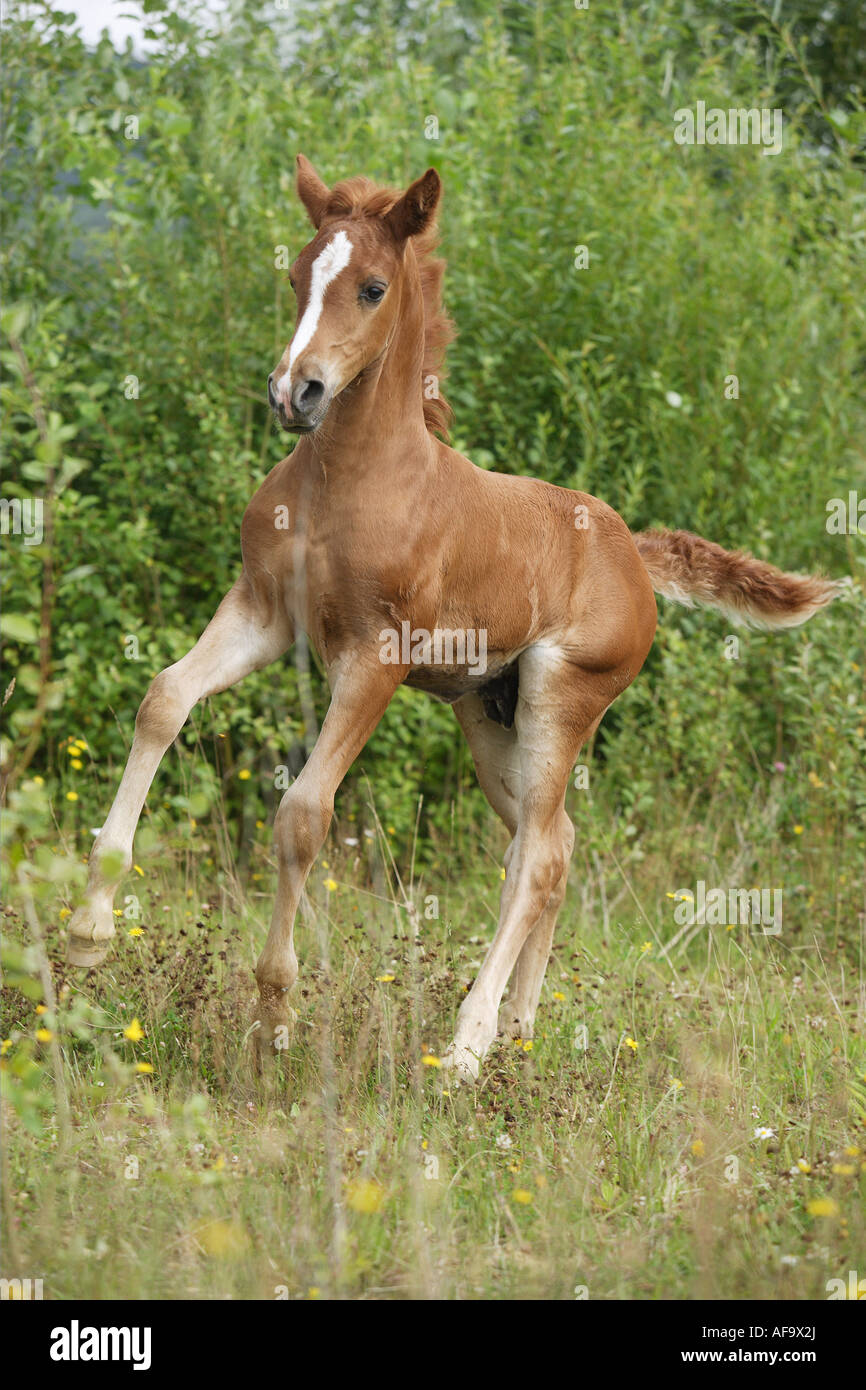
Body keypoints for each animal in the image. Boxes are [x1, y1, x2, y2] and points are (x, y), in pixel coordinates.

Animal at [67, 156, 837, 1079]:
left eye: (371, 287)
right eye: (295, 277)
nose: (295, 392)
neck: (349, 478)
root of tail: (633, 551)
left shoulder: (377, 656)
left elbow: (303, 814)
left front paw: (275, 1016)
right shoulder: (262, 612)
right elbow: (164, 699)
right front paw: (89, 929)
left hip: (561, 699)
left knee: (535, 857)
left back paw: (467, 1047)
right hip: (487, 714)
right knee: (554, 843)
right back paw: (521, 1029)